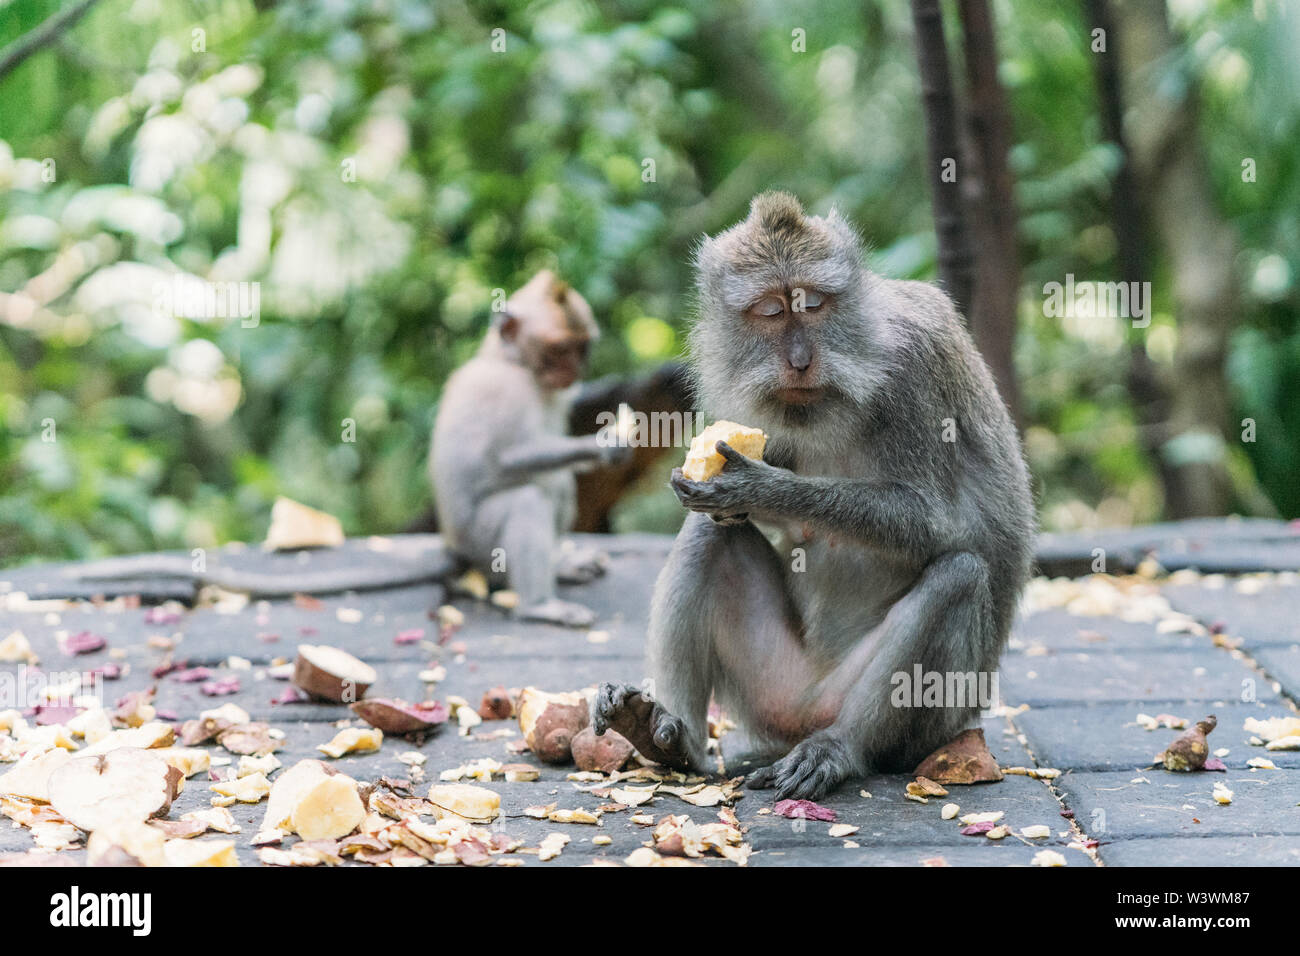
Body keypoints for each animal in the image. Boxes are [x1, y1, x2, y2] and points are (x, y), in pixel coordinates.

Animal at [430, 269, 627, 628]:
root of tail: (455, 549)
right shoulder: (508, 391)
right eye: (560, 349)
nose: (572, 370)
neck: (511, 361)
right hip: (479, 543)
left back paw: (559, 566)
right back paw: (539, 605)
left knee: (559, 483)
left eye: (581, 347)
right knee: (528, 500)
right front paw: (600, 446)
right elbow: (506, 459)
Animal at [592, 192, 1035, 800]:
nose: (800, 361)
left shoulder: (917, 370)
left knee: (959, 577)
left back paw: (840, 748)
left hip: (925, 720)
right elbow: (721, 514)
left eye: (815, 303)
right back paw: (673, 739)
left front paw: (762, 487)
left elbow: (934, 520)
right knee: (707, 536)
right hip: (772, 691)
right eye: (771, 311)